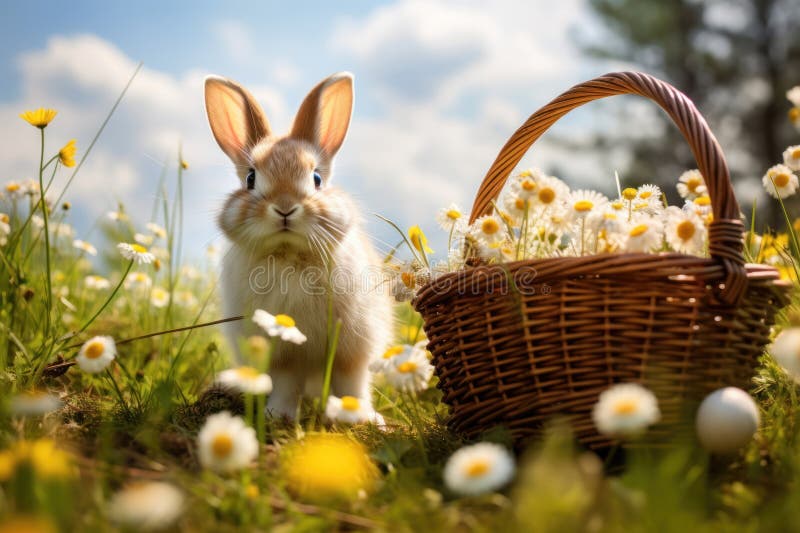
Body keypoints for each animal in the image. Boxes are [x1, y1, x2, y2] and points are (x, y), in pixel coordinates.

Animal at [204, 72, 393, 420]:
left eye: (316, 178)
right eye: (250, 179)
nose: (284, 208)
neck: (290, 254)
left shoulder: (353, 348)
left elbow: (352, 383)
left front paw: (362, 417)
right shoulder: (282, 355)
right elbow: (285, 383)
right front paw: (278, 416)